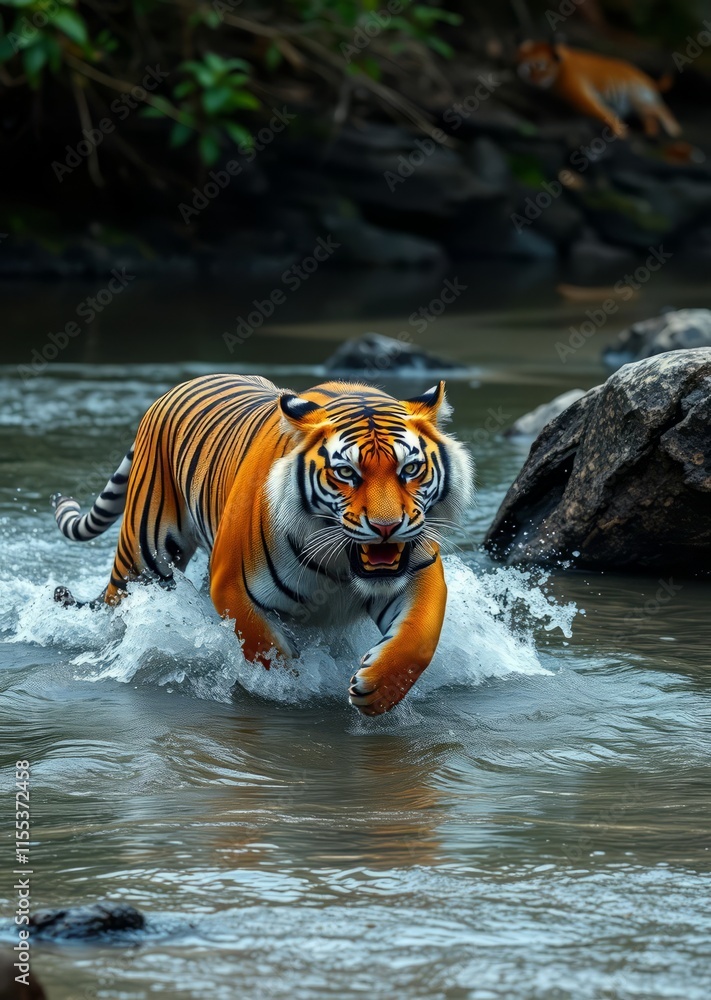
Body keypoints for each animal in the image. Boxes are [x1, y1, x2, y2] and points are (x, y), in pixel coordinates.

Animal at [51, 375, 474, 716]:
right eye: (346, 473)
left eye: (410, 469)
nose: (387, 528)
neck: (341, 562)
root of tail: (174, 389)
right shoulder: (232, 587)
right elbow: (264, 648)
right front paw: (291, 686)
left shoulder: (419, 572)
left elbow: (419, 640)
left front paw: (378, 691)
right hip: (145, 557)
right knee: (117, 604)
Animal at [516, 41, 681, 139]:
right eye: (529, 69)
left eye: (540, 67)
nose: (534, 80)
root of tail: (645, 76)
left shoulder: (574, 87)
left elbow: (593, 107)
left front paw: (617, 129)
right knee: (651, 115)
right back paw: (652, 131)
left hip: (638, 96)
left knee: (659, 109)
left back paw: (672, 128)